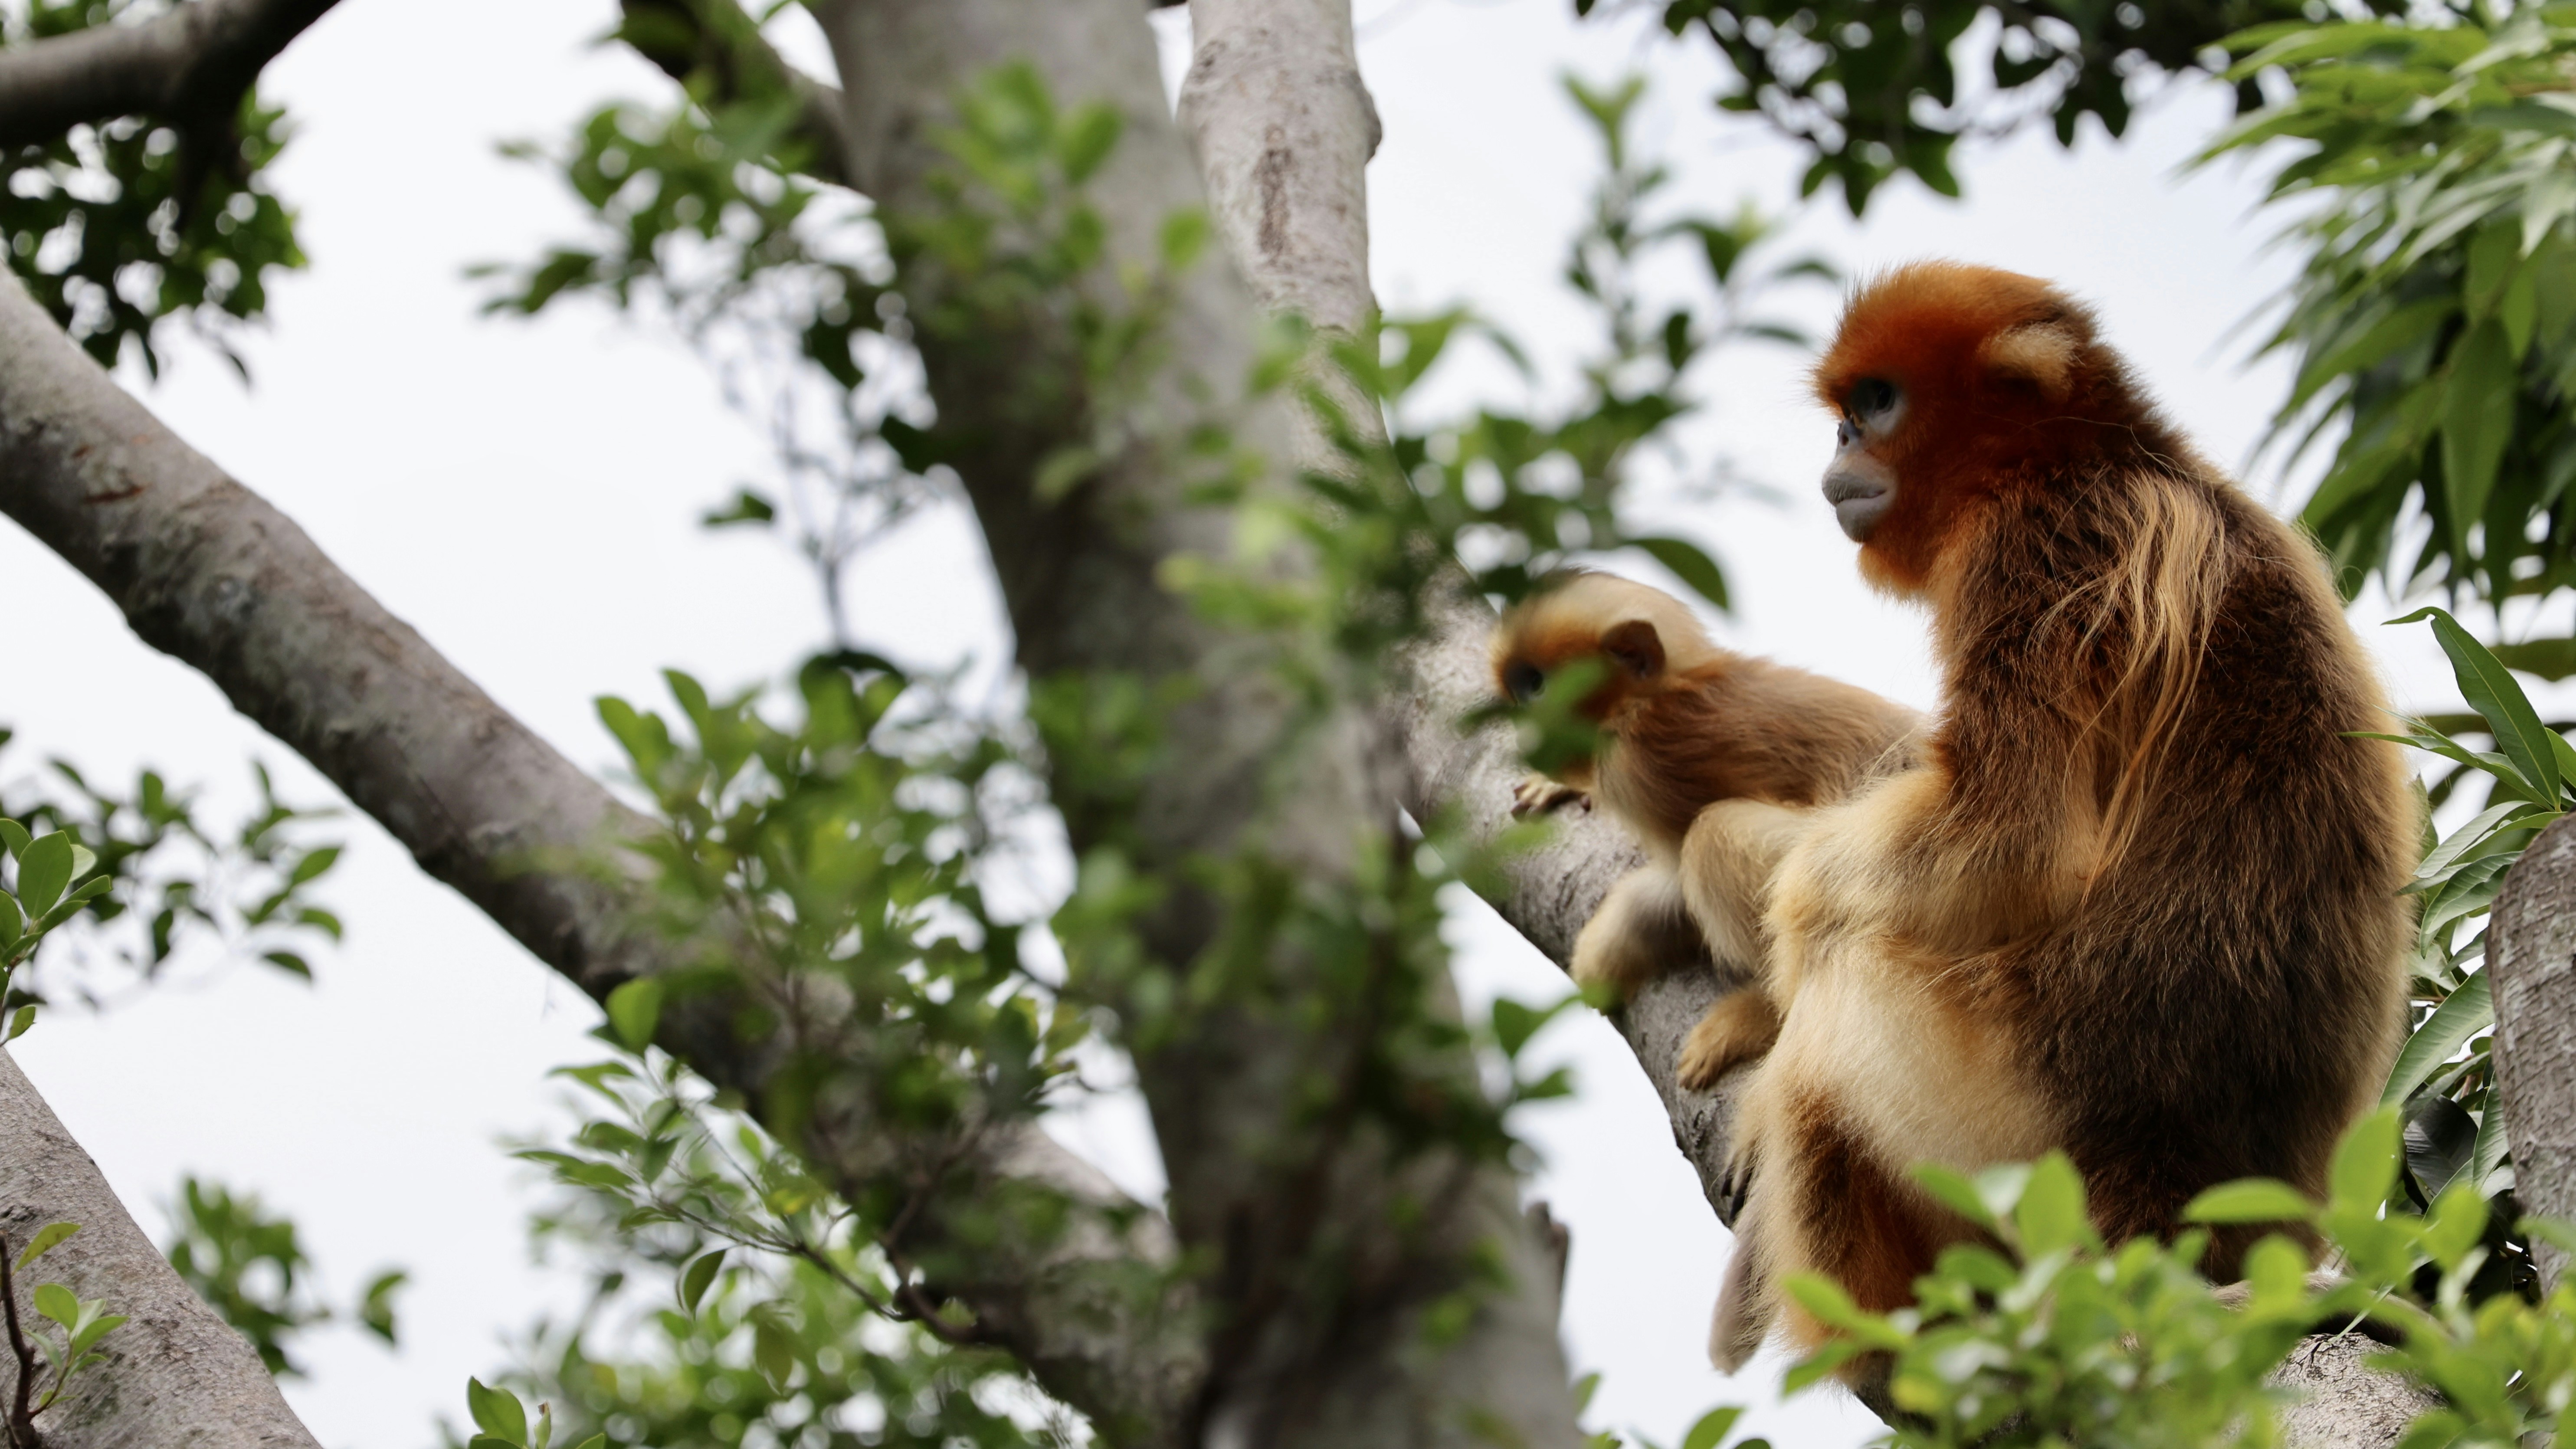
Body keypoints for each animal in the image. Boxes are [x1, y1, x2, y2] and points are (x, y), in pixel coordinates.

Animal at [1529, 263, 2420, 1377]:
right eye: (1846, 409)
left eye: (1876, 404)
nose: (1841, 443)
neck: (2103, 456)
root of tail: (2183, 1222)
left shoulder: (2036, 555)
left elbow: (2004, 839)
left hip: (2014, 1142)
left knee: (1824, 938)